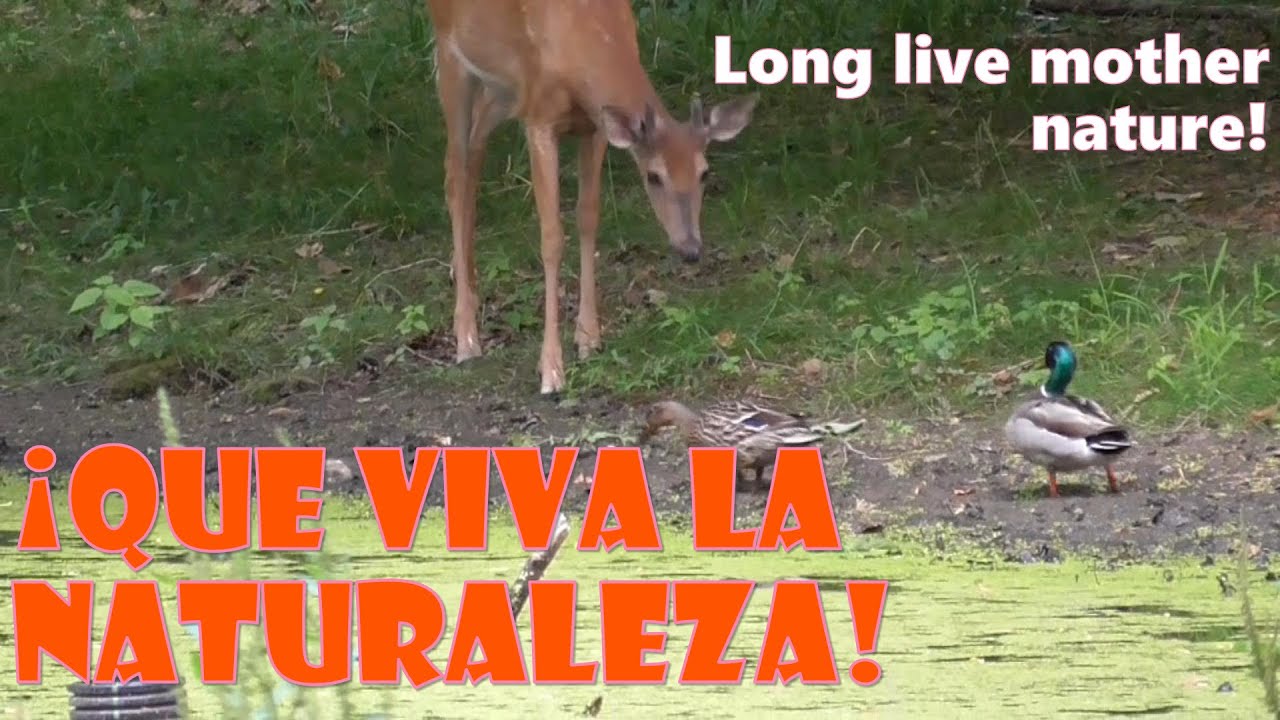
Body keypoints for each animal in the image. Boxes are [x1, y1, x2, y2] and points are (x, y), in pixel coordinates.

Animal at [424, 0, 758, 395]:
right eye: (653, 176)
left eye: (704, 173)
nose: (691, 249)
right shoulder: (539, 118)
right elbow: (552, 237)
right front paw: (552, 370)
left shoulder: (594, 128)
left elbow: (588, 217)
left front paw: (588, 337)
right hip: (451, 59)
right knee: (454, 173)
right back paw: (466, 337)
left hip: (501, 92)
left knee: (472, 156)